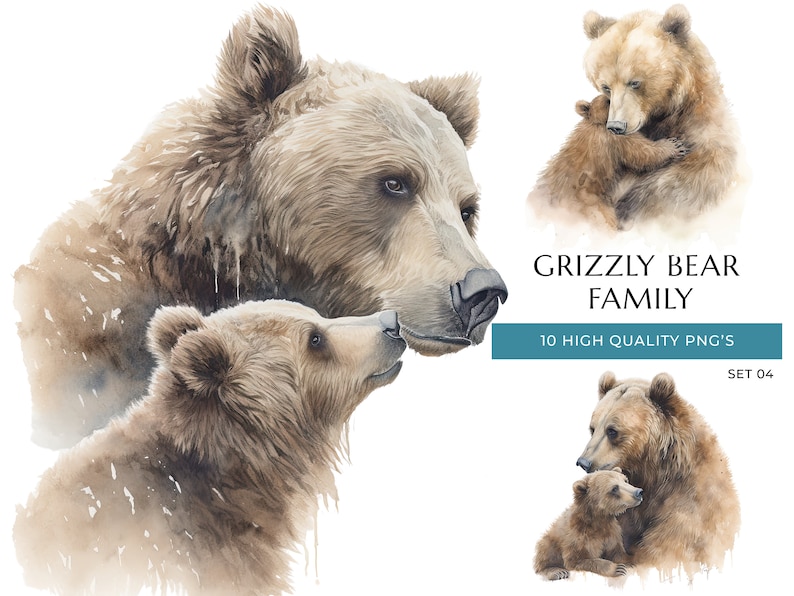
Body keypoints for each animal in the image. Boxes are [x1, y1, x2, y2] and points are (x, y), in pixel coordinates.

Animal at [531, 93, 688, 229]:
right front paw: (674, 146)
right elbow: (642, 152)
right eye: (608, 100)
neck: (598, 123)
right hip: (593, 207)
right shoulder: (614, 139)